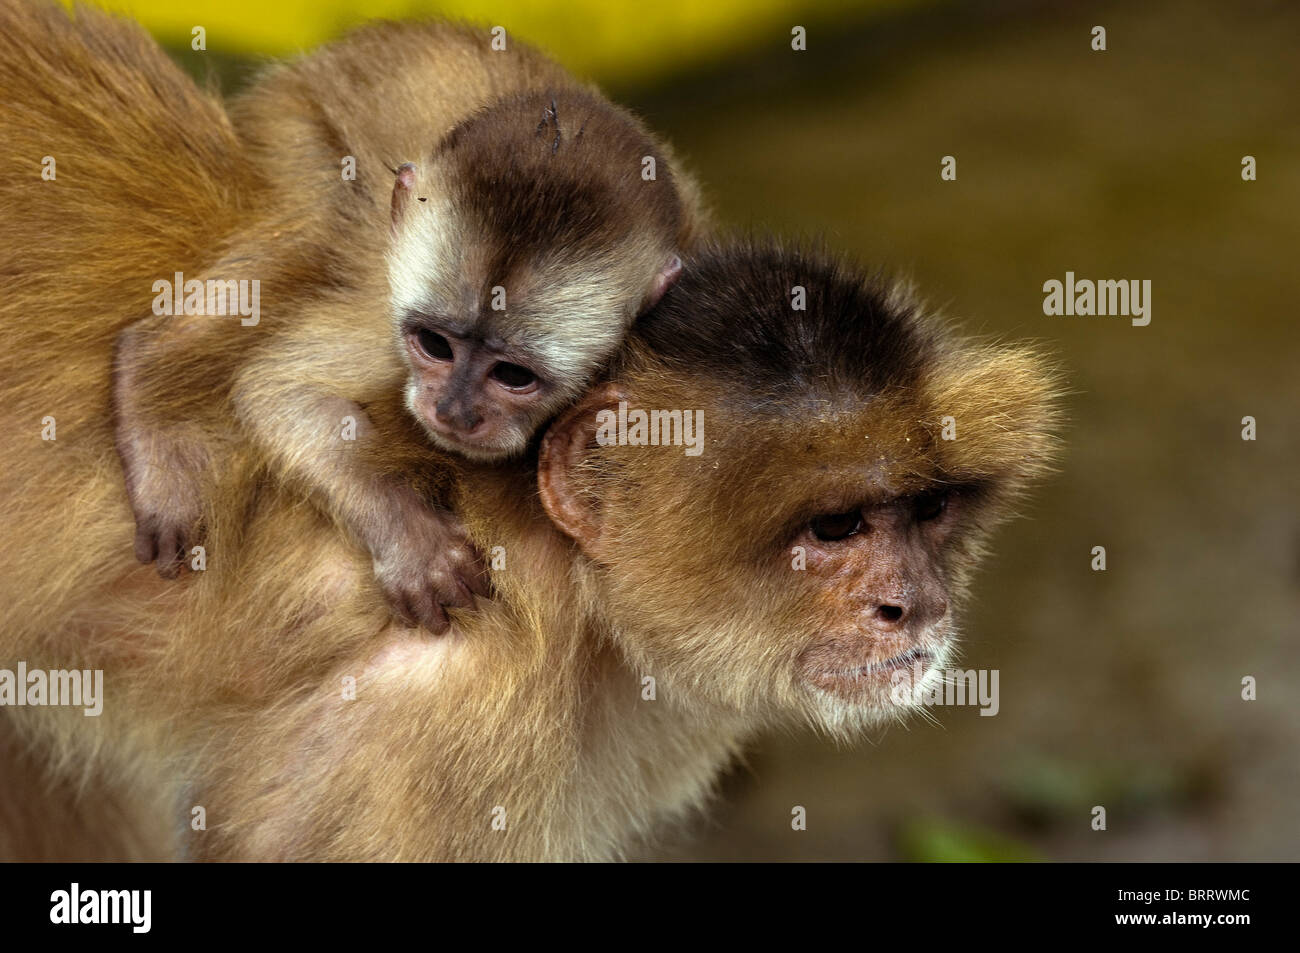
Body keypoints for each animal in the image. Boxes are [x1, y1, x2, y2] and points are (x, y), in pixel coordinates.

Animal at [109, 18, 703, 630]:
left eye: (514, 376)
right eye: (435, 345)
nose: (453, 412)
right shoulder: (384, 313)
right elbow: (274, 389)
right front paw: (412, 542)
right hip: (292, 124)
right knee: (314, 228)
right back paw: (147, 375)